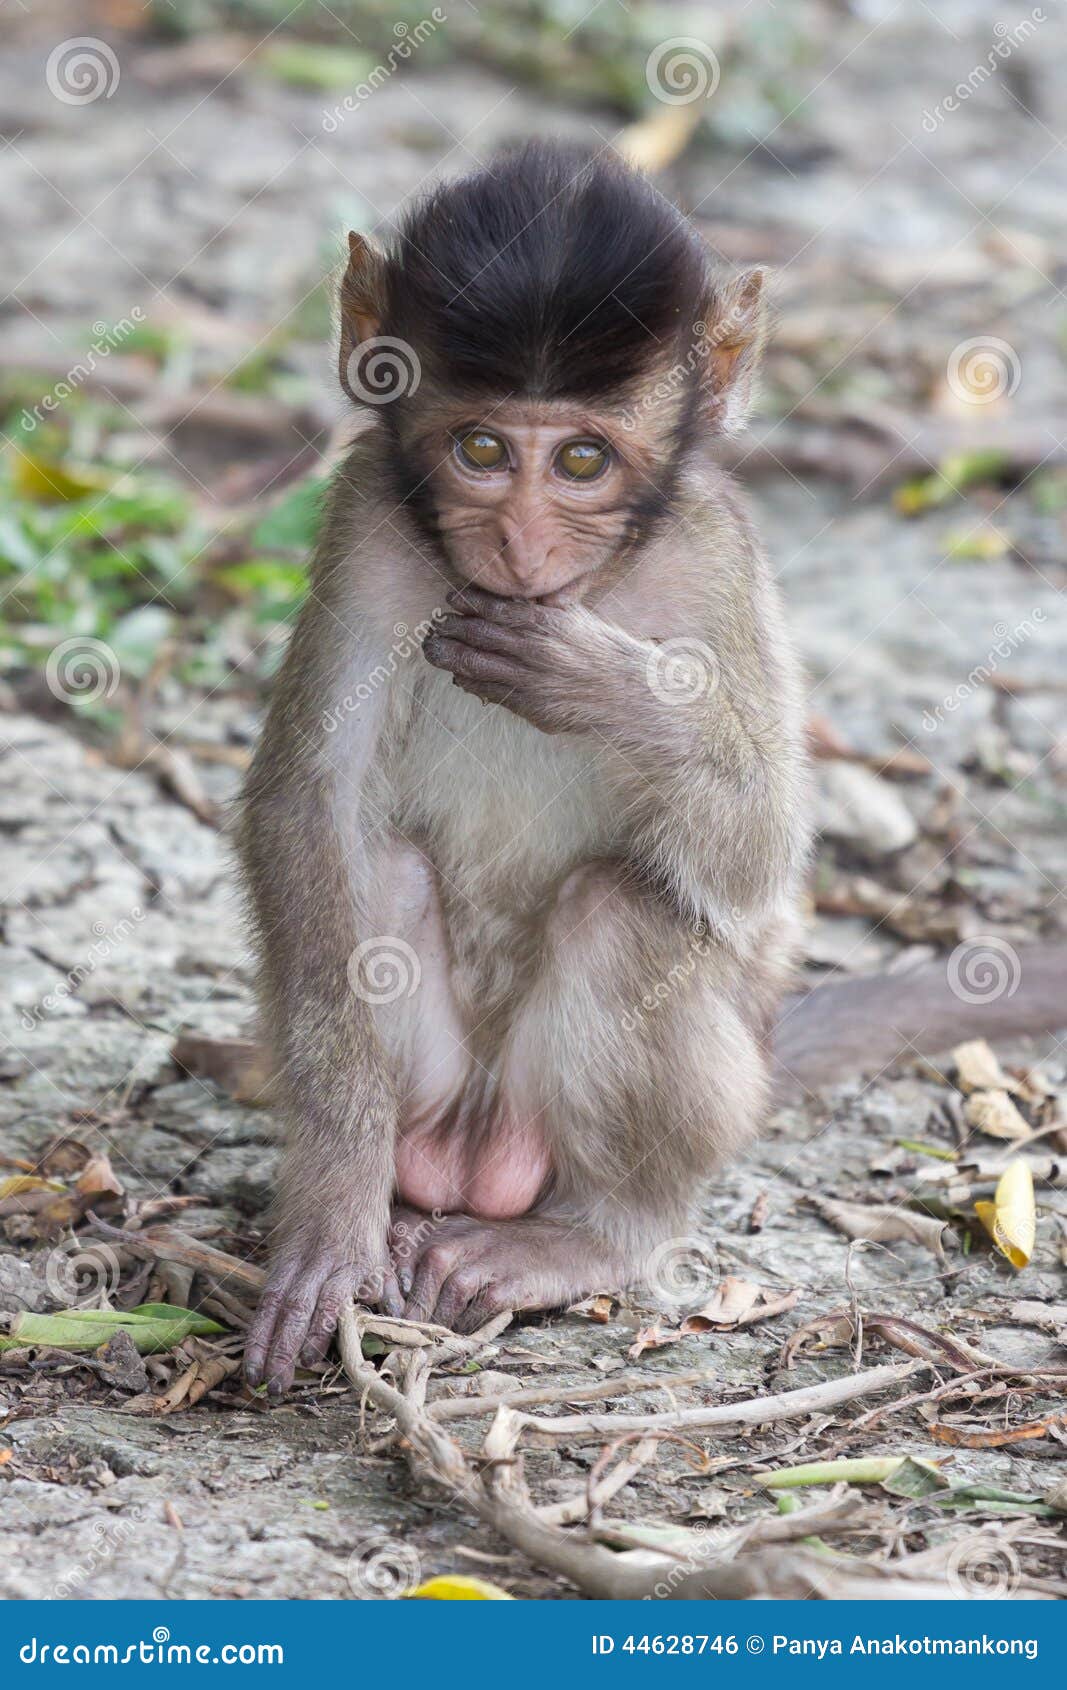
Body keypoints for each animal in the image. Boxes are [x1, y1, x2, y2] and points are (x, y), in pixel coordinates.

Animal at [237, 142, 1067, 1396]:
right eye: (482, 449)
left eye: (581, 459)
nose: (522, 544)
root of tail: (479, 1139)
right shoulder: (364, 523)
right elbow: (310, 806)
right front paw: (333, 1204)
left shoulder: (717, 552)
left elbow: (762, 853)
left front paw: (602, 683)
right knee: (375, 875)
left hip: (699, 1095)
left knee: (619, 916)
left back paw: (596, 1234)